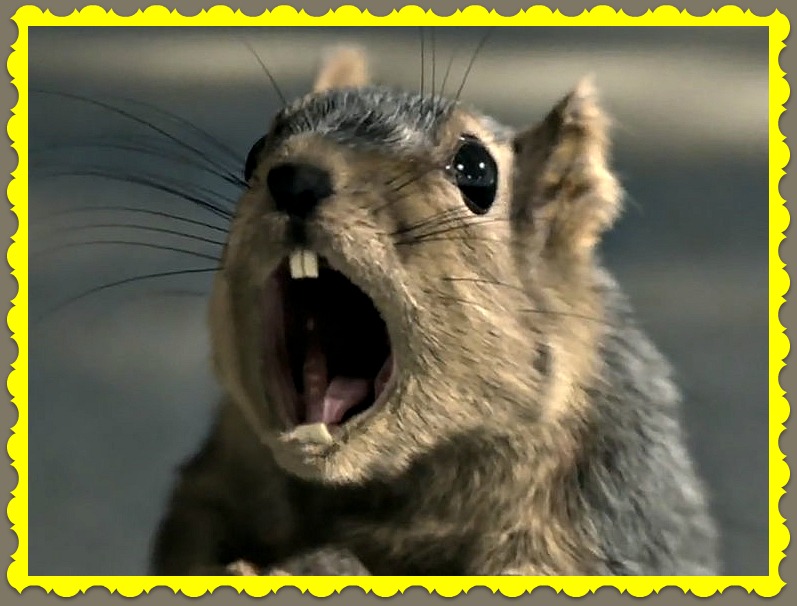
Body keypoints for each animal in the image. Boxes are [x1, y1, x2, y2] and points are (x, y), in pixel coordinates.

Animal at [148, 46, 719, 576]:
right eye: (255, 152)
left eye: (476, 170)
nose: (294, 179)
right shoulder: (223, 473)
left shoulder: (592, 519)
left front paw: (321, 567)